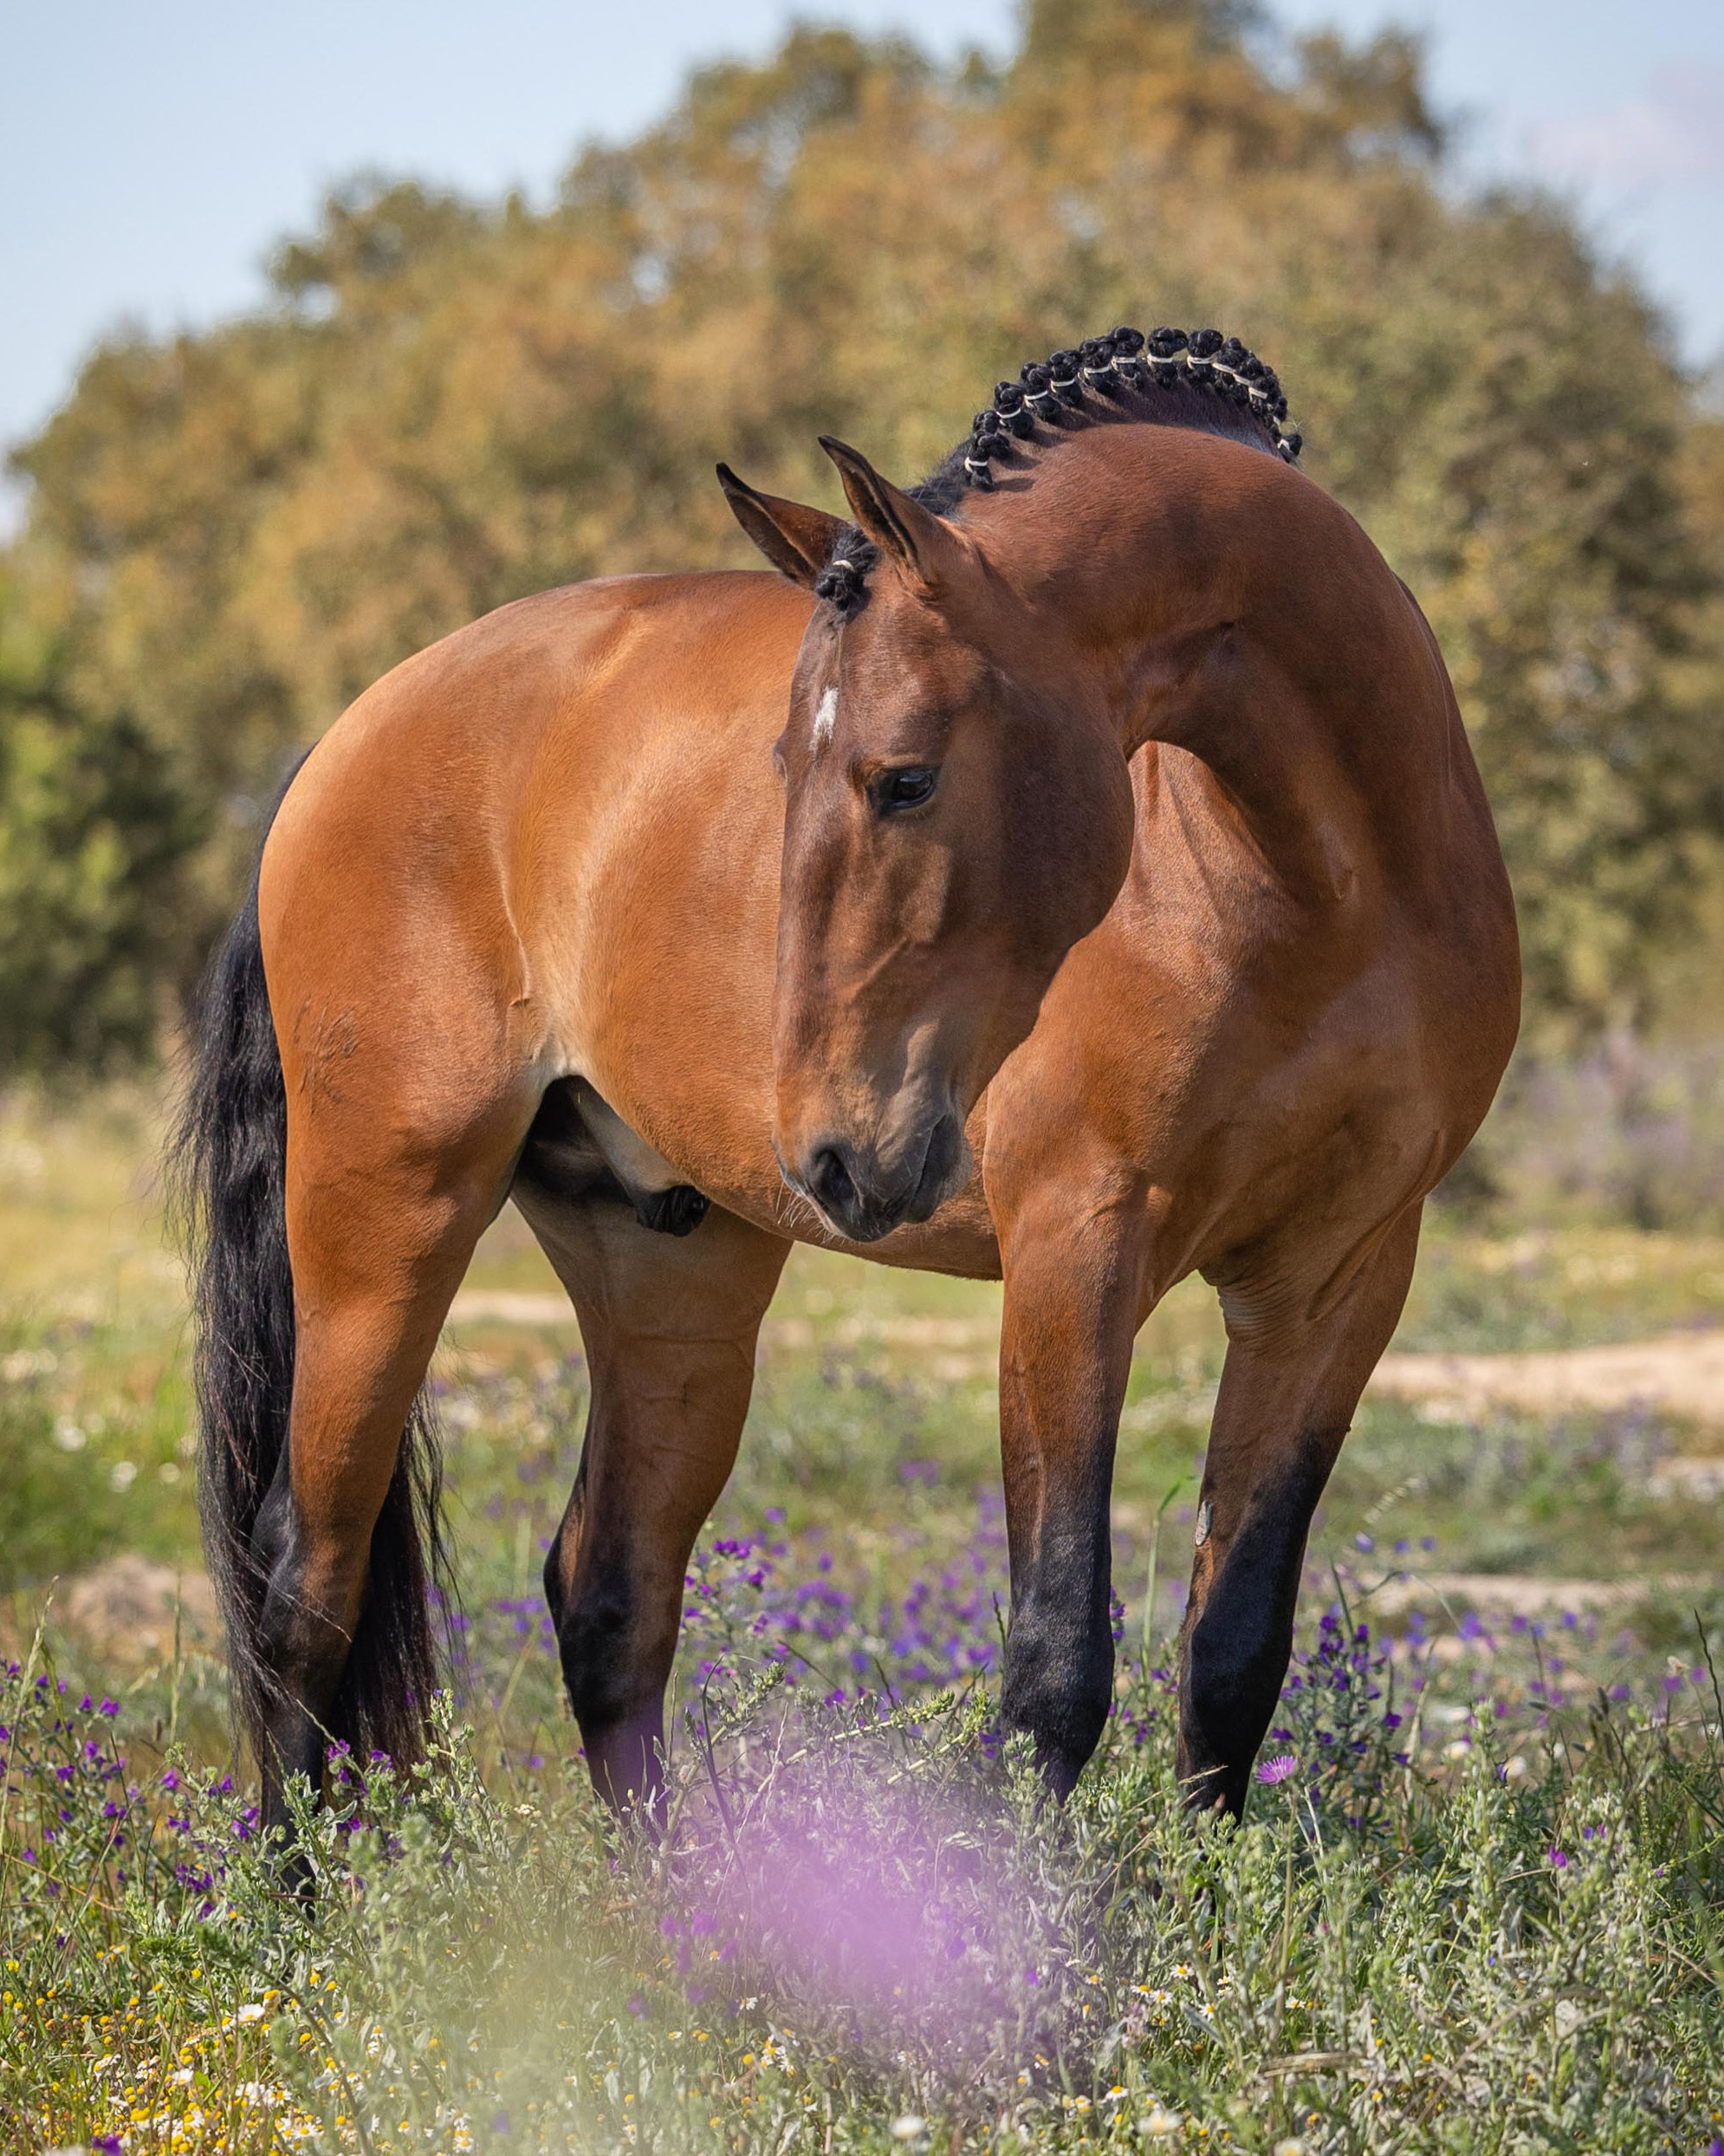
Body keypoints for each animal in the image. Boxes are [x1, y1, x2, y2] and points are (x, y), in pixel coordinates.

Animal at [173, 323, 1519, 1846]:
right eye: (786, 766)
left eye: (903, 779)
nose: (833, 1153)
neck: (1306, 887)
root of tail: (345, 738)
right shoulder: (1076, 1250)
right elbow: (1055, 1665)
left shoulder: (1335, 1281)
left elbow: (1233, 1653)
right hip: (382, 1220)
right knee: (304, 1581)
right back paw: (298, 1902)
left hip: (667, 1263)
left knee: (606, 1592)